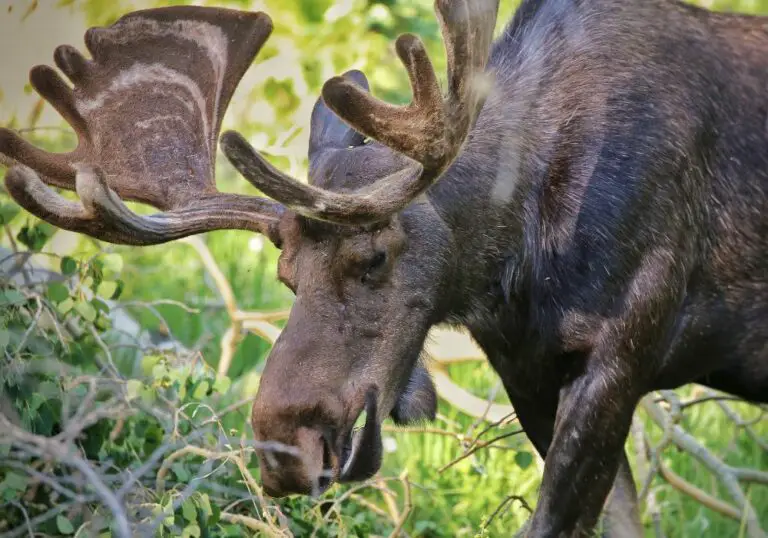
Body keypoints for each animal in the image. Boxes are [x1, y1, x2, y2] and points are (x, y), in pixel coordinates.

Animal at [1, 0, 767, 536]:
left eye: (373, 255)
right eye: (286, 275)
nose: (287, 450)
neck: (517, 255)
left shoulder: (622, 352)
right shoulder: (526, 370)